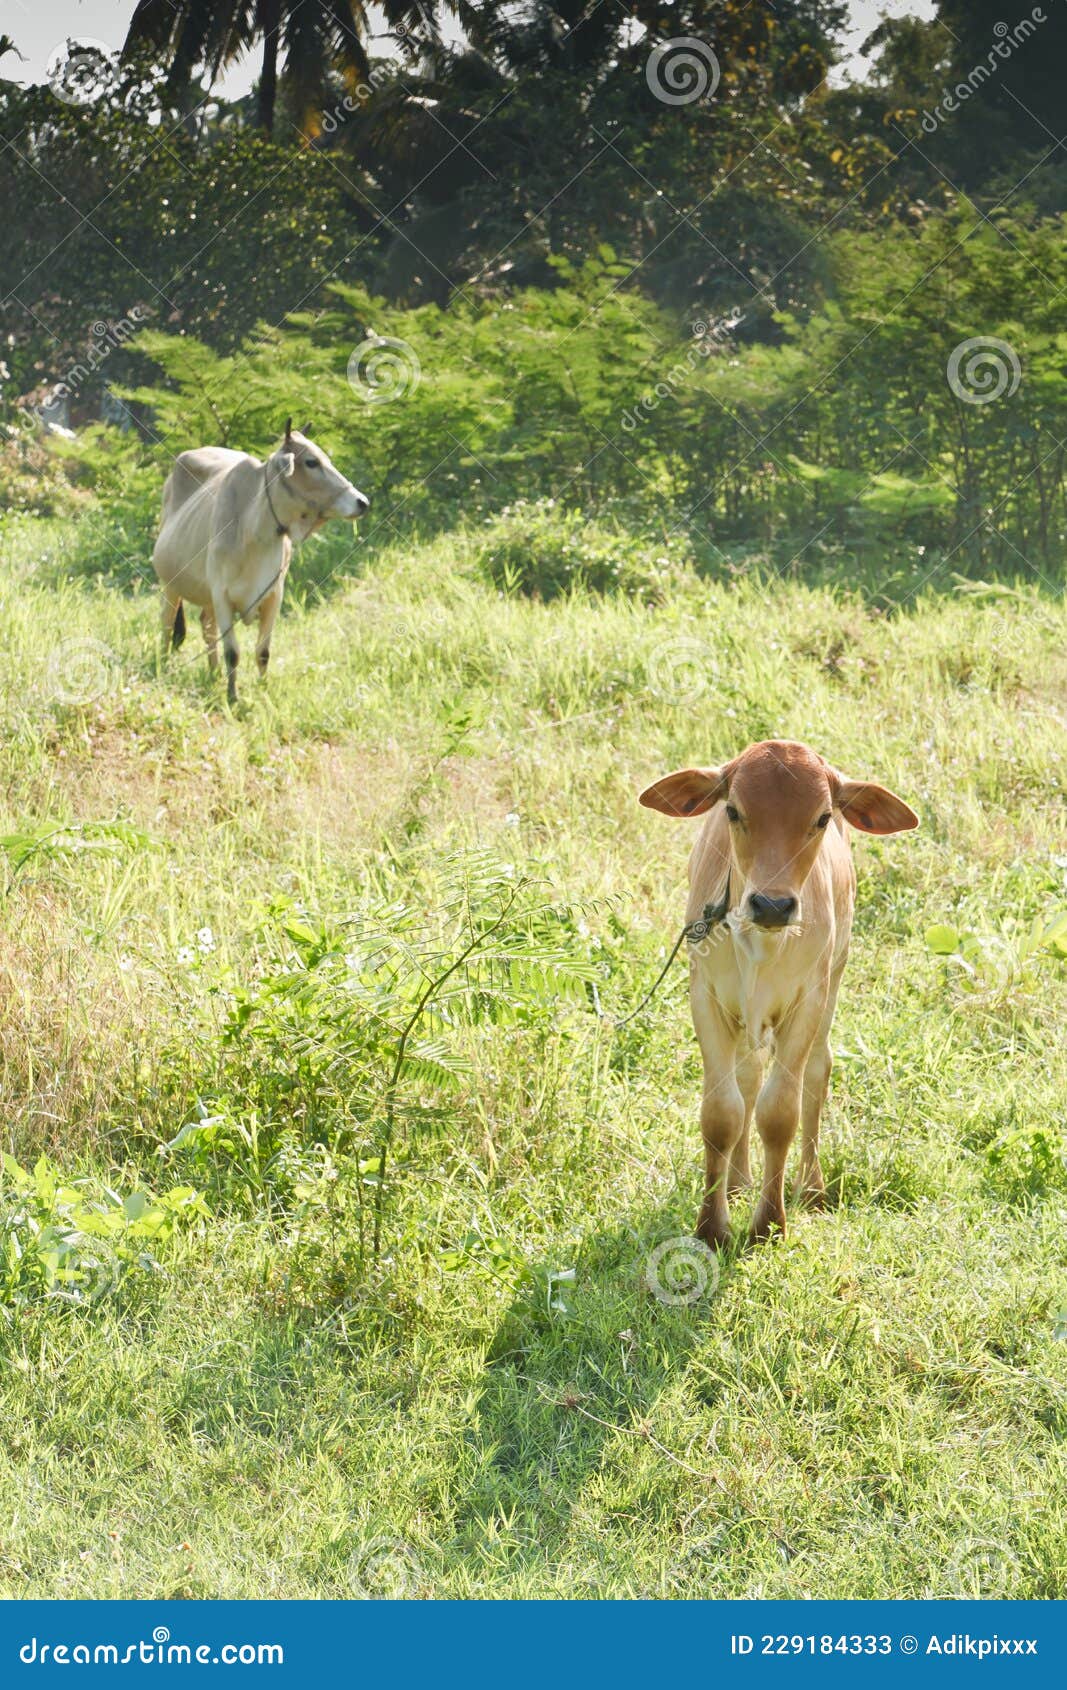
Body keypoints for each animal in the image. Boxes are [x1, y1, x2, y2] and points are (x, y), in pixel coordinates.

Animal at [152, 421, 369, 703]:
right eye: (311, 462)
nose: (362, 502)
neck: (255, 533)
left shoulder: (273, 595)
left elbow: (263, 652)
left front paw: (263, 690)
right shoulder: (222, 596)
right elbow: (232, 652)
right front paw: (233, 697)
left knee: (206, 626)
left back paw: (214, 674)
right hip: (169, 584)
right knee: (167, 626)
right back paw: (165, 666)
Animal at [639, 740, 918, 1249]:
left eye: (822, 817)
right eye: (733, 810)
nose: (772, 905)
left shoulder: (807, 1001)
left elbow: (779, 1113)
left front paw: (768, 1223)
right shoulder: (705, 998)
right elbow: (722, 1112)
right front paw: (712, 1227)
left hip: (833, 982)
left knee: (817, 1072)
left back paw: (811, 1188)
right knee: (747, 1079)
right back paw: (737, 1181)